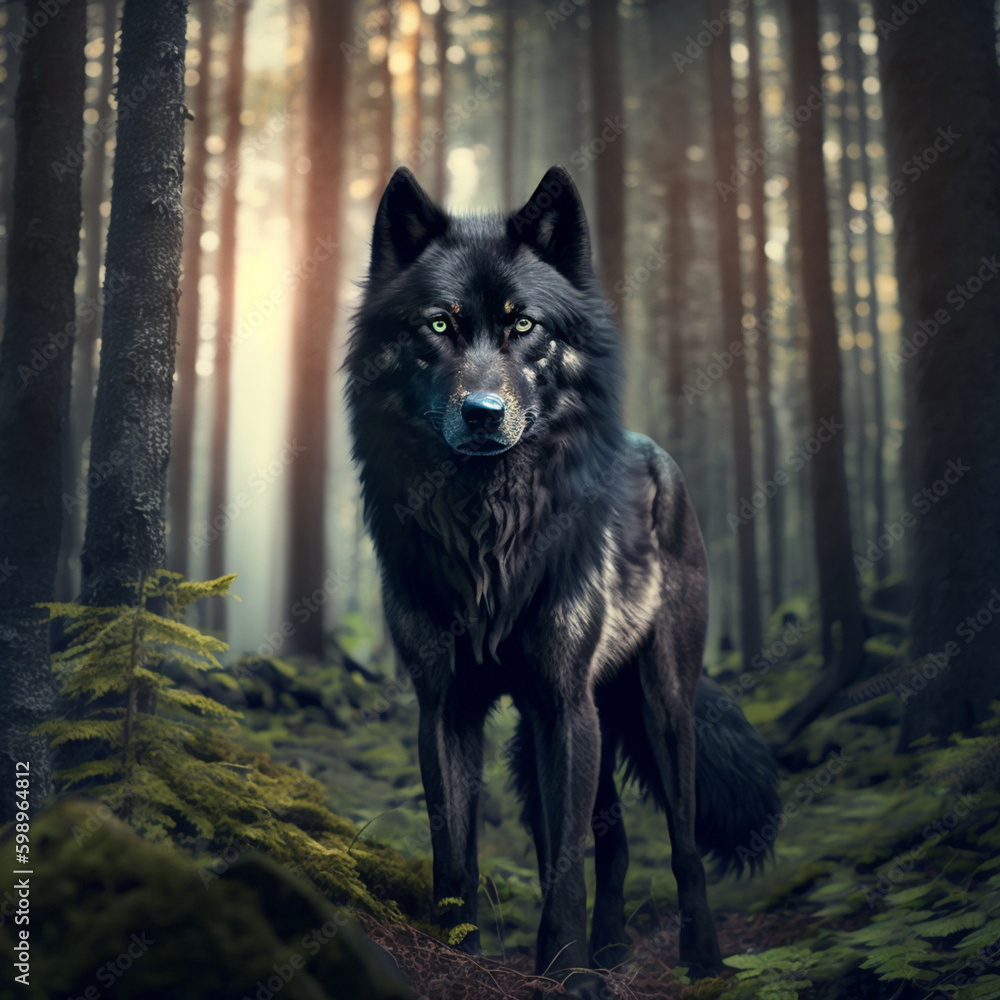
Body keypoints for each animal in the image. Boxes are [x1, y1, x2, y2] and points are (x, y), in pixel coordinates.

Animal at [346, 165, 780, 996]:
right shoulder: (448, 708)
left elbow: (565, 872)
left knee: (678, 844)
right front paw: (460, 953)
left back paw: (701, 960)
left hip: (657, 704)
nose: (483, 415)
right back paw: (610, 949)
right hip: (570, 726)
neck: (487, 528)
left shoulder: (561, 701)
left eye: (525, 326)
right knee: (610, 842)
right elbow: (457, 853)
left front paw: (565, 974)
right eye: (439, 325)